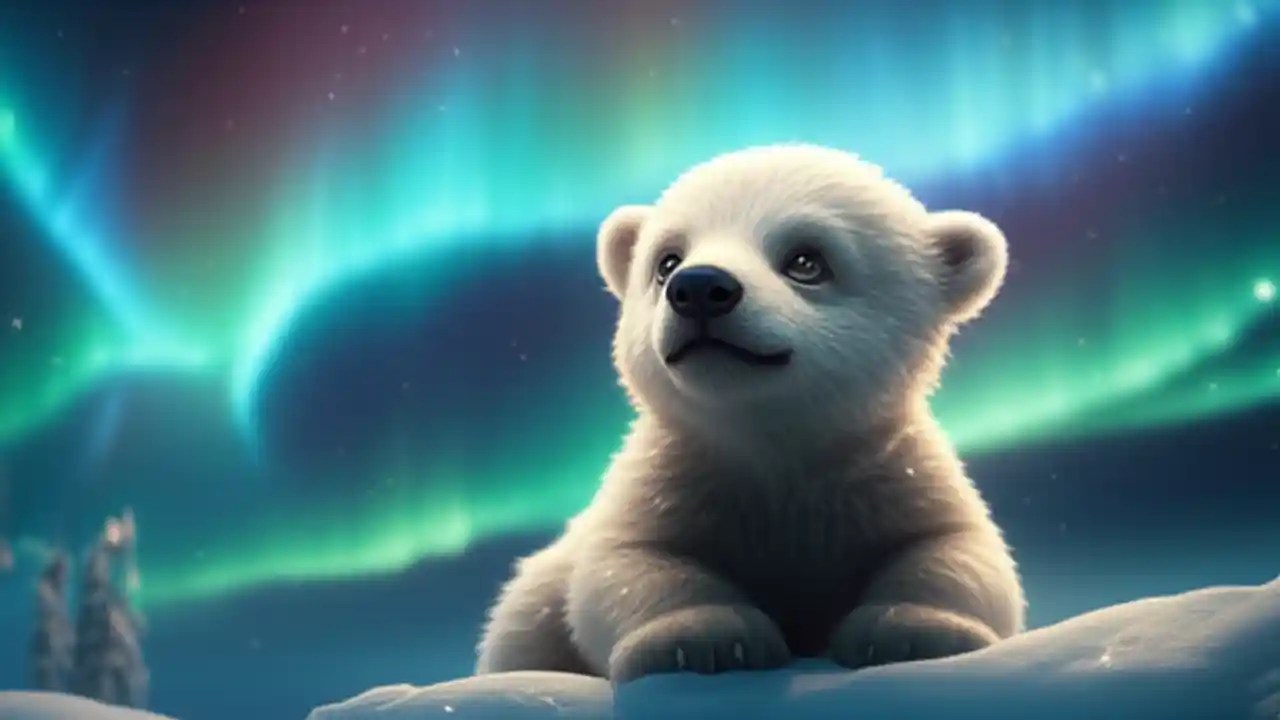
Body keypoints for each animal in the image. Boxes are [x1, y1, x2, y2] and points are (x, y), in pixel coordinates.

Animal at [476, 143, 1025, 683]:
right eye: (667, 260)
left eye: (806, 261)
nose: (699, 288)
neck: (769, 442)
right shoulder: (669, 481)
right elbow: (627, 564)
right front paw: (706, 641)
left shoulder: (892, 472)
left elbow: (960, 551)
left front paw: (910, 631)